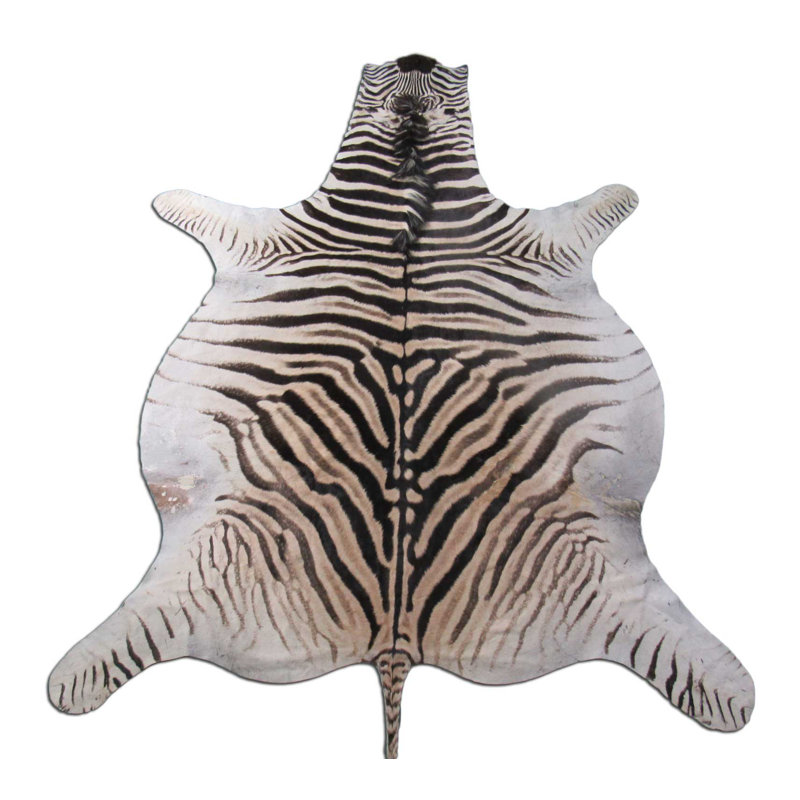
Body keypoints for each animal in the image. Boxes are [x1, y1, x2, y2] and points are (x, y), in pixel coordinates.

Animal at [48, 53, 754, 758]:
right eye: (384, 72)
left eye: (444, 77)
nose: (417, 55)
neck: (405, 178)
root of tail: (397, 645)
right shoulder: (269, 235)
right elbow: (196, 206)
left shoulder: (543, 236)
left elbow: (608, 199)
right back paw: (74, 680)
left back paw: (728, 694)